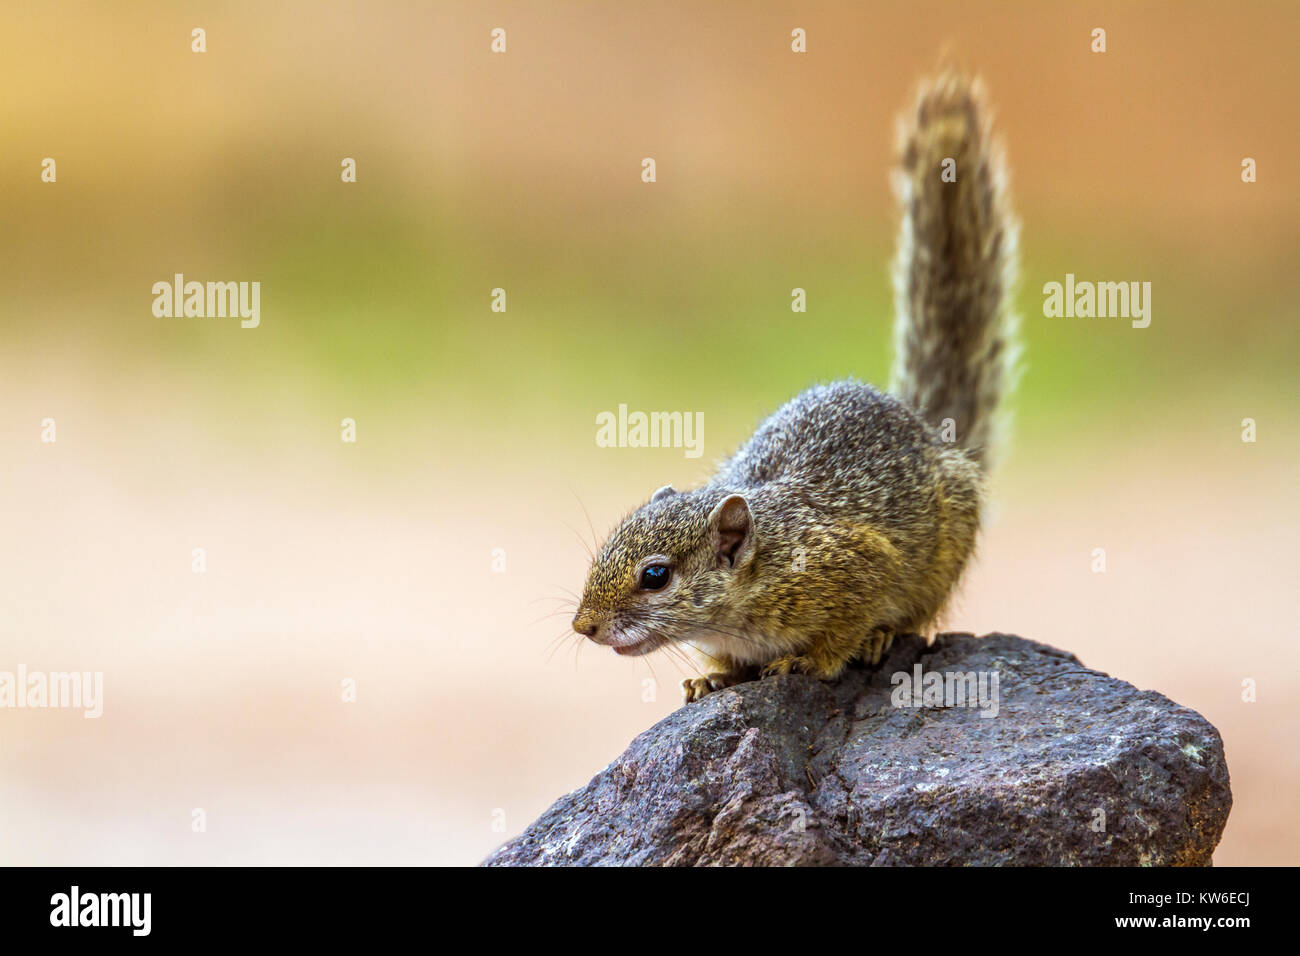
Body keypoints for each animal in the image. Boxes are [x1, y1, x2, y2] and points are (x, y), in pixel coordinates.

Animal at [571, 71, 1019, 704]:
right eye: (603, 550)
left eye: (655, 576)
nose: (581, 626)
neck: (765, 564)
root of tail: (932, 430)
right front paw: (711, 675)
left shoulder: (853, 568)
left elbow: (841, 633)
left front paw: (807, 660)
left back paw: (883, 637)